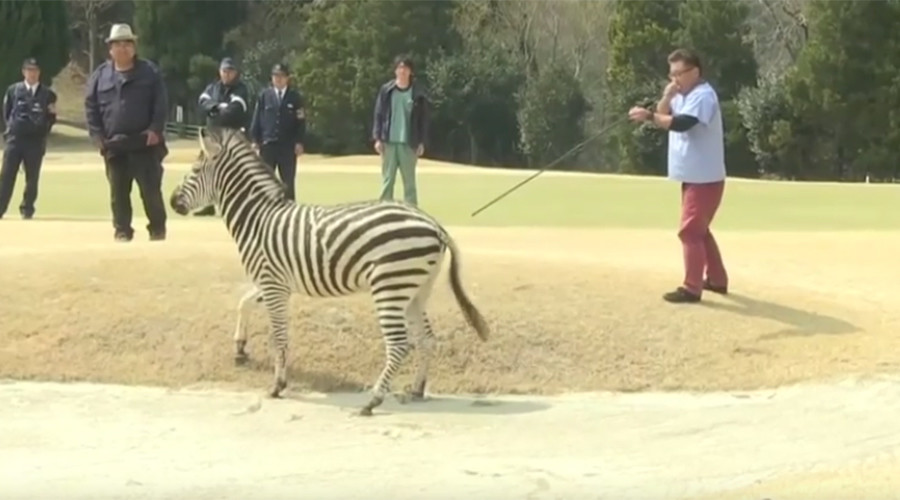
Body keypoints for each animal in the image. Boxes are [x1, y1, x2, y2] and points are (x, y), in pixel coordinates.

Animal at [169, 126, 490, 416]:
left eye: (194, 170)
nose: (172, 201)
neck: (258, 219)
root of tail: (434, 225)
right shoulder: (272, 283)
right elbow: (243, 303)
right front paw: (240, 346)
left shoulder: (273, 284)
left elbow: (279, 336)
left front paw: (277, 386)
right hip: (416, 290)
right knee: (426, 339)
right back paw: (417, 388)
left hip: (389, 286)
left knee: (400, 344)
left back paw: (372, 401)